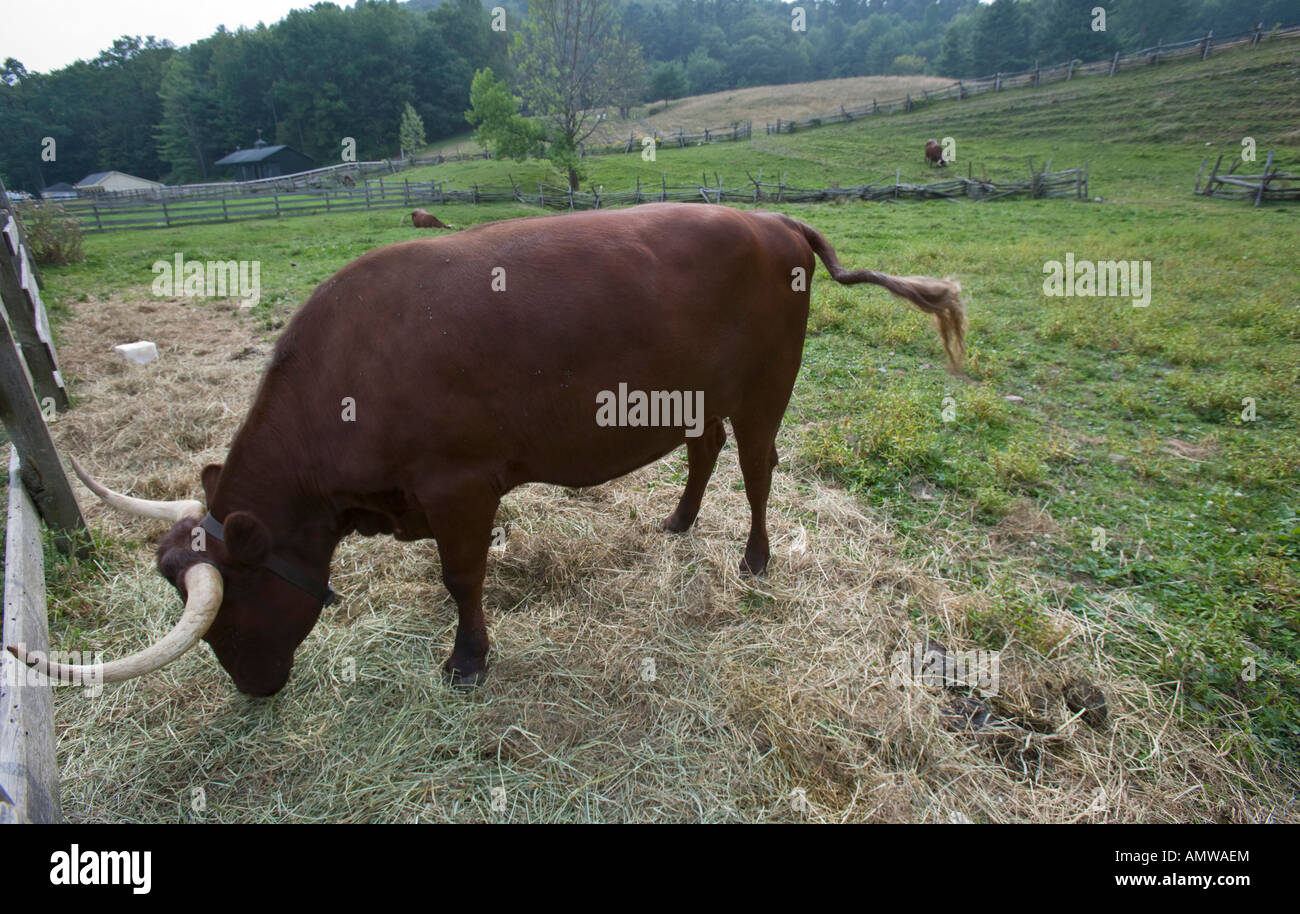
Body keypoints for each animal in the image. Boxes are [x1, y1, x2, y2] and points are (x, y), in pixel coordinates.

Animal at [10, 203, 964, 698]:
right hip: (696, 396)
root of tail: (769, 215)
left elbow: (461, 575)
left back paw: (755, 558)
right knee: (704, 453)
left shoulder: (462, 486)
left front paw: (467, 659)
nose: (253, 689)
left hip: (767, 387)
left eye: (229, 608)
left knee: (758, 466)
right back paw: (679, 522)